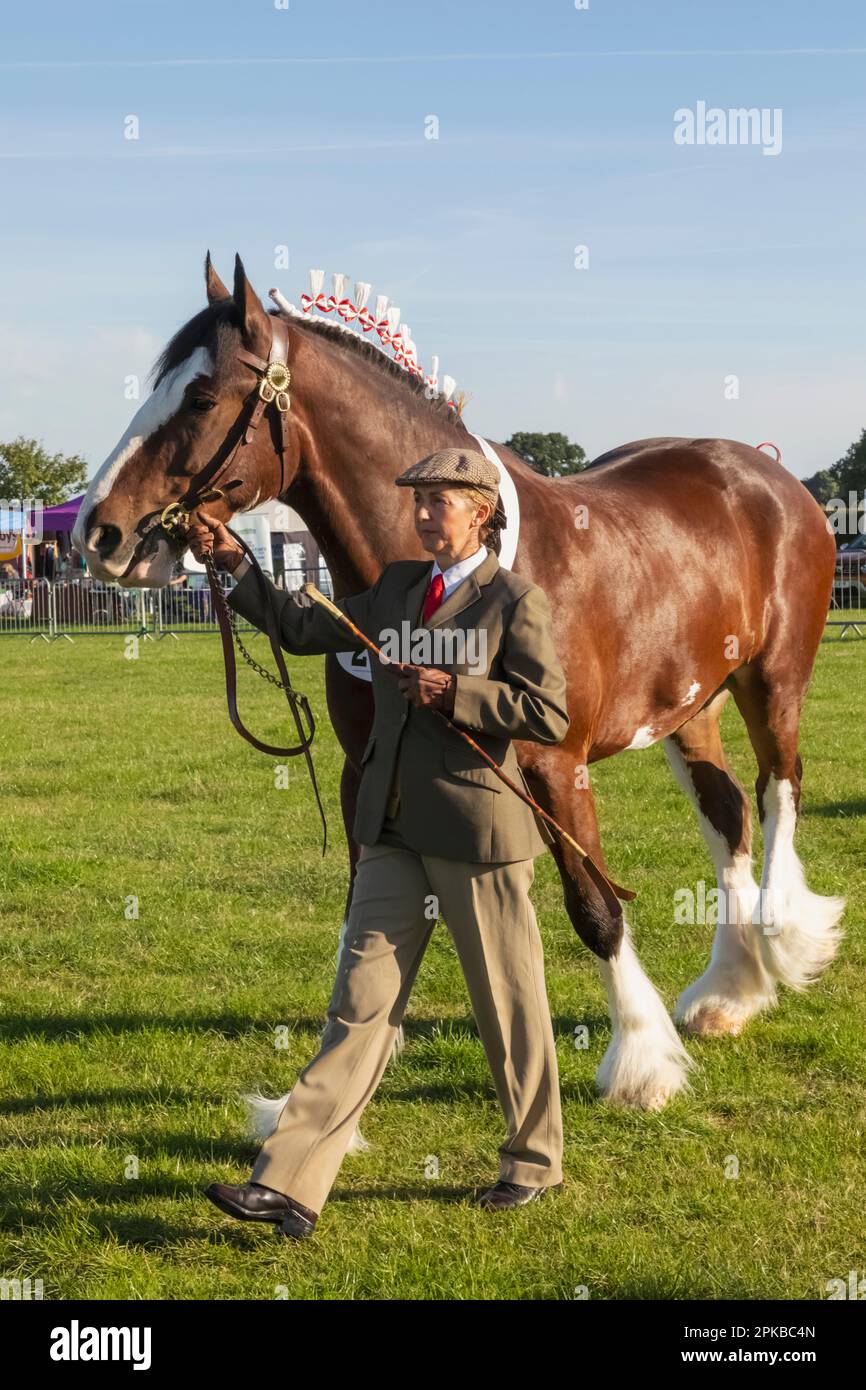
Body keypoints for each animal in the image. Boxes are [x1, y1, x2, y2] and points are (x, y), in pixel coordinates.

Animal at [72, 251, 844, 1125]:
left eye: (202, 397)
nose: (98, 533)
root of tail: (767, 473)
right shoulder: (366, 768)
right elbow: (362, 917)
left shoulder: (553, 766)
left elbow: (595, 905)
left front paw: (640, 1064)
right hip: (690, 705)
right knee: (726, 812)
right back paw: (729, 992)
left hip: (773, 681)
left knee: (778, 789)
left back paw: (782, 940)